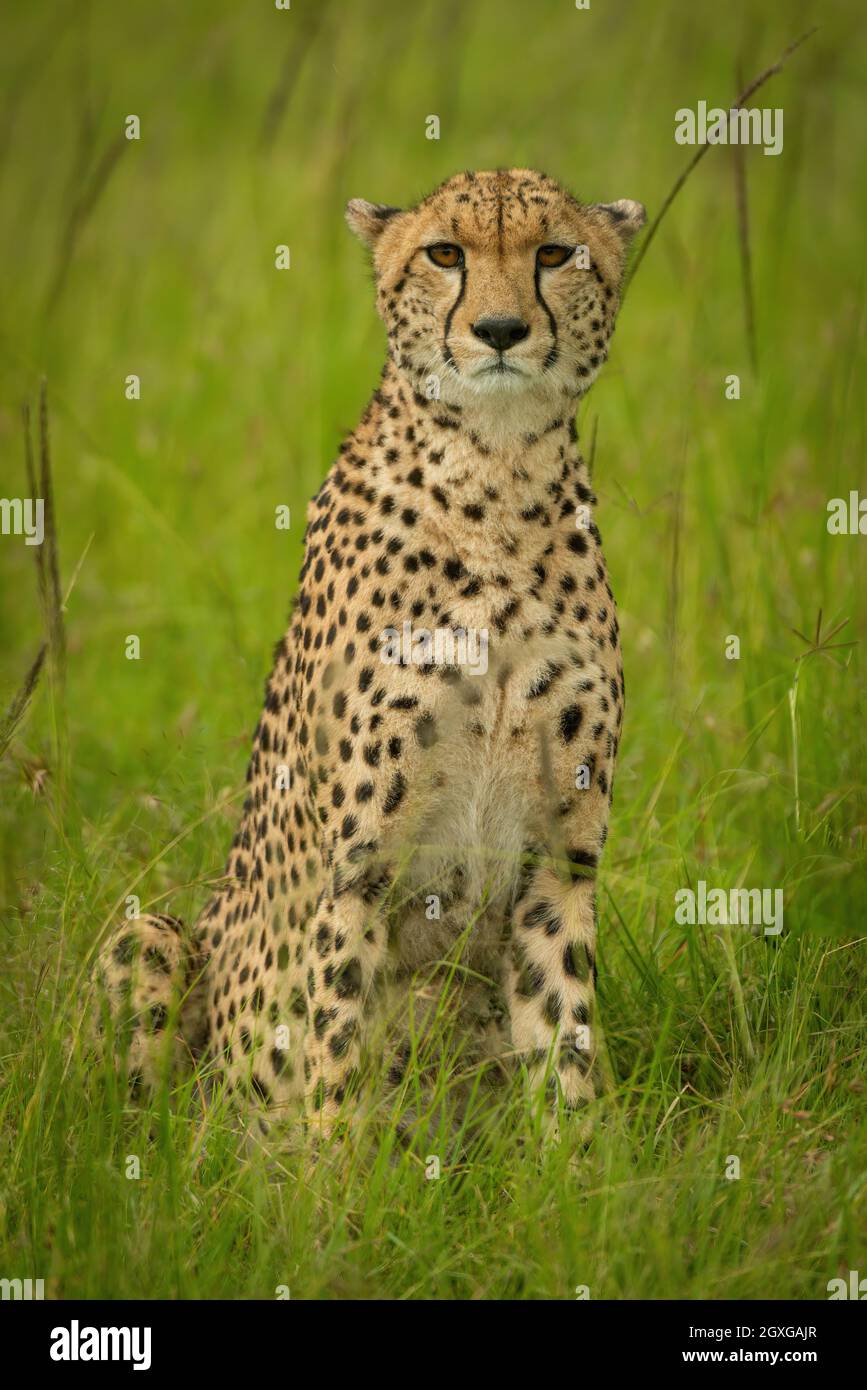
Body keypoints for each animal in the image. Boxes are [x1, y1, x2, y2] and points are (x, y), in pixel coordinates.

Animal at [92, 168, 645, 1141]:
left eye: (554, 253)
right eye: (444, 253)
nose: (499, 330)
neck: (497, 473)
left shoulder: (561, 856)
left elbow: (561, 1023)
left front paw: (580, 1160)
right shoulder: (360, 866)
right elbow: (335, 1031)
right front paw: (332, 1171)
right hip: (149, 939)